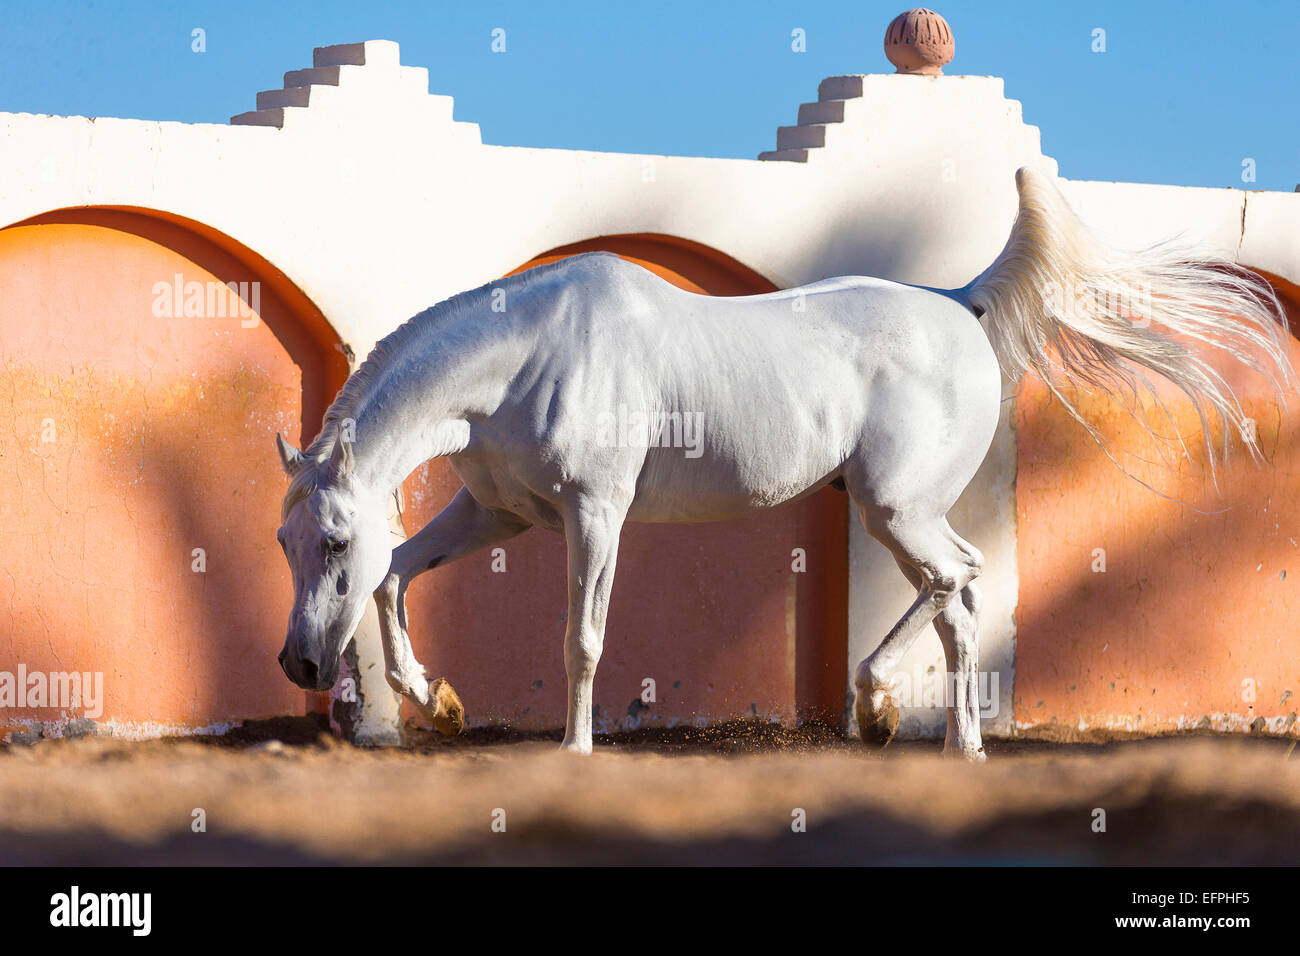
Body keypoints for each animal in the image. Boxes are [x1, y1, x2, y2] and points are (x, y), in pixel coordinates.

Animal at [274, 167, 1292, 760]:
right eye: (286, 543)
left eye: (332, 540)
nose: (297, 664)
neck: (535, 352)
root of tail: (960, 302)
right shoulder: (503, 513)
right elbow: (399, 575)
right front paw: (435, 701)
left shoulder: (593, 515)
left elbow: (581, 640)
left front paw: (573, 754)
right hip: (897, 514)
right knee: (961, 606)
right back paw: (952, 749)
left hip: (895, 508)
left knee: (959, 580)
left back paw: (886, 710)